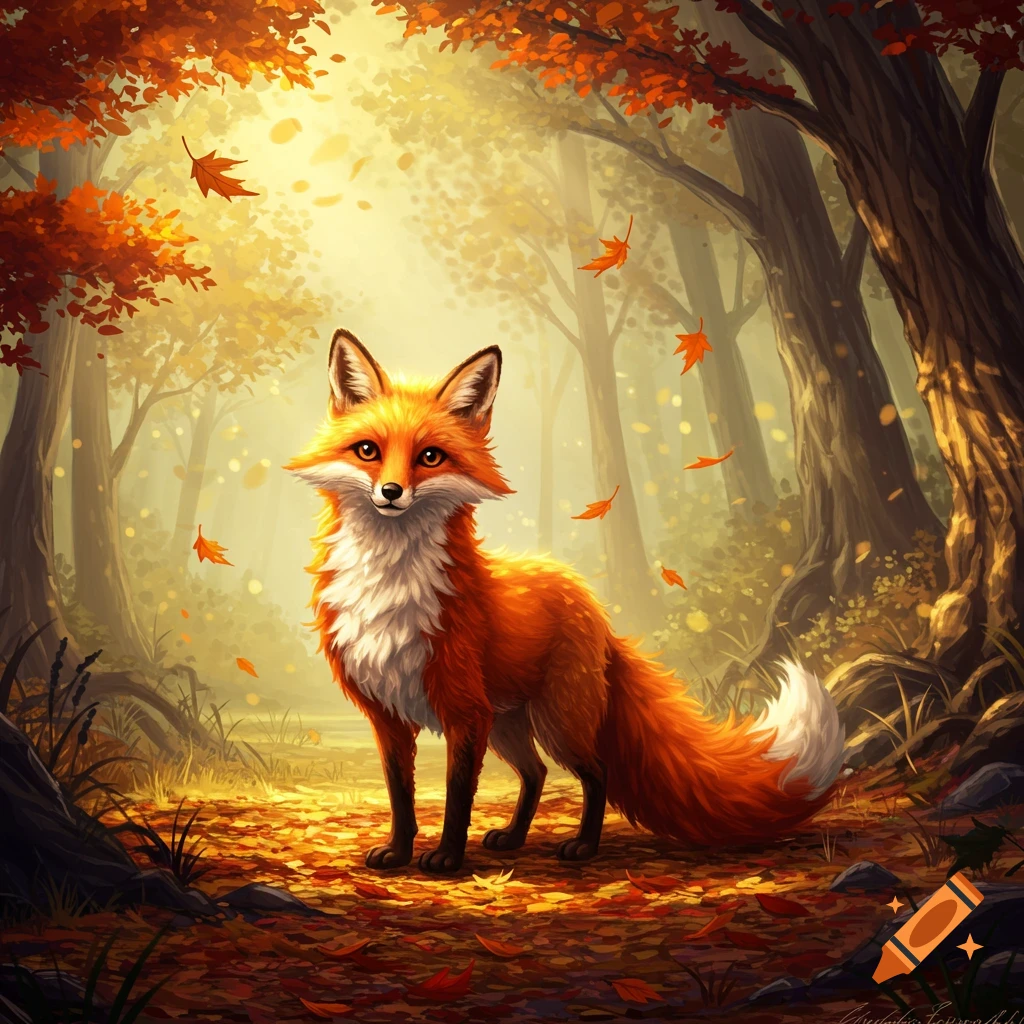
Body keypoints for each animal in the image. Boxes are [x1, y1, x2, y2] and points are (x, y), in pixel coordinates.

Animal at [287, 329, 846, 875]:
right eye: (367, 450)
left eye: (430, 456)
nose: (391, 491)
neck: (389, 587)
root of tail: (593, 604)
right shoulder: (388, 713)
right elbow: (400, 795)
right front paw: (399, 853)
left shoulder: (464, 711)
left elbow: (457, 795)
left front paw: (446, 858)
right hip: (510, 724)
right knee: (535, 773)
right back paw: (513, 838)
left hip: (556, 721)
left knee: (596, 772)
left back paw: (583, 846)